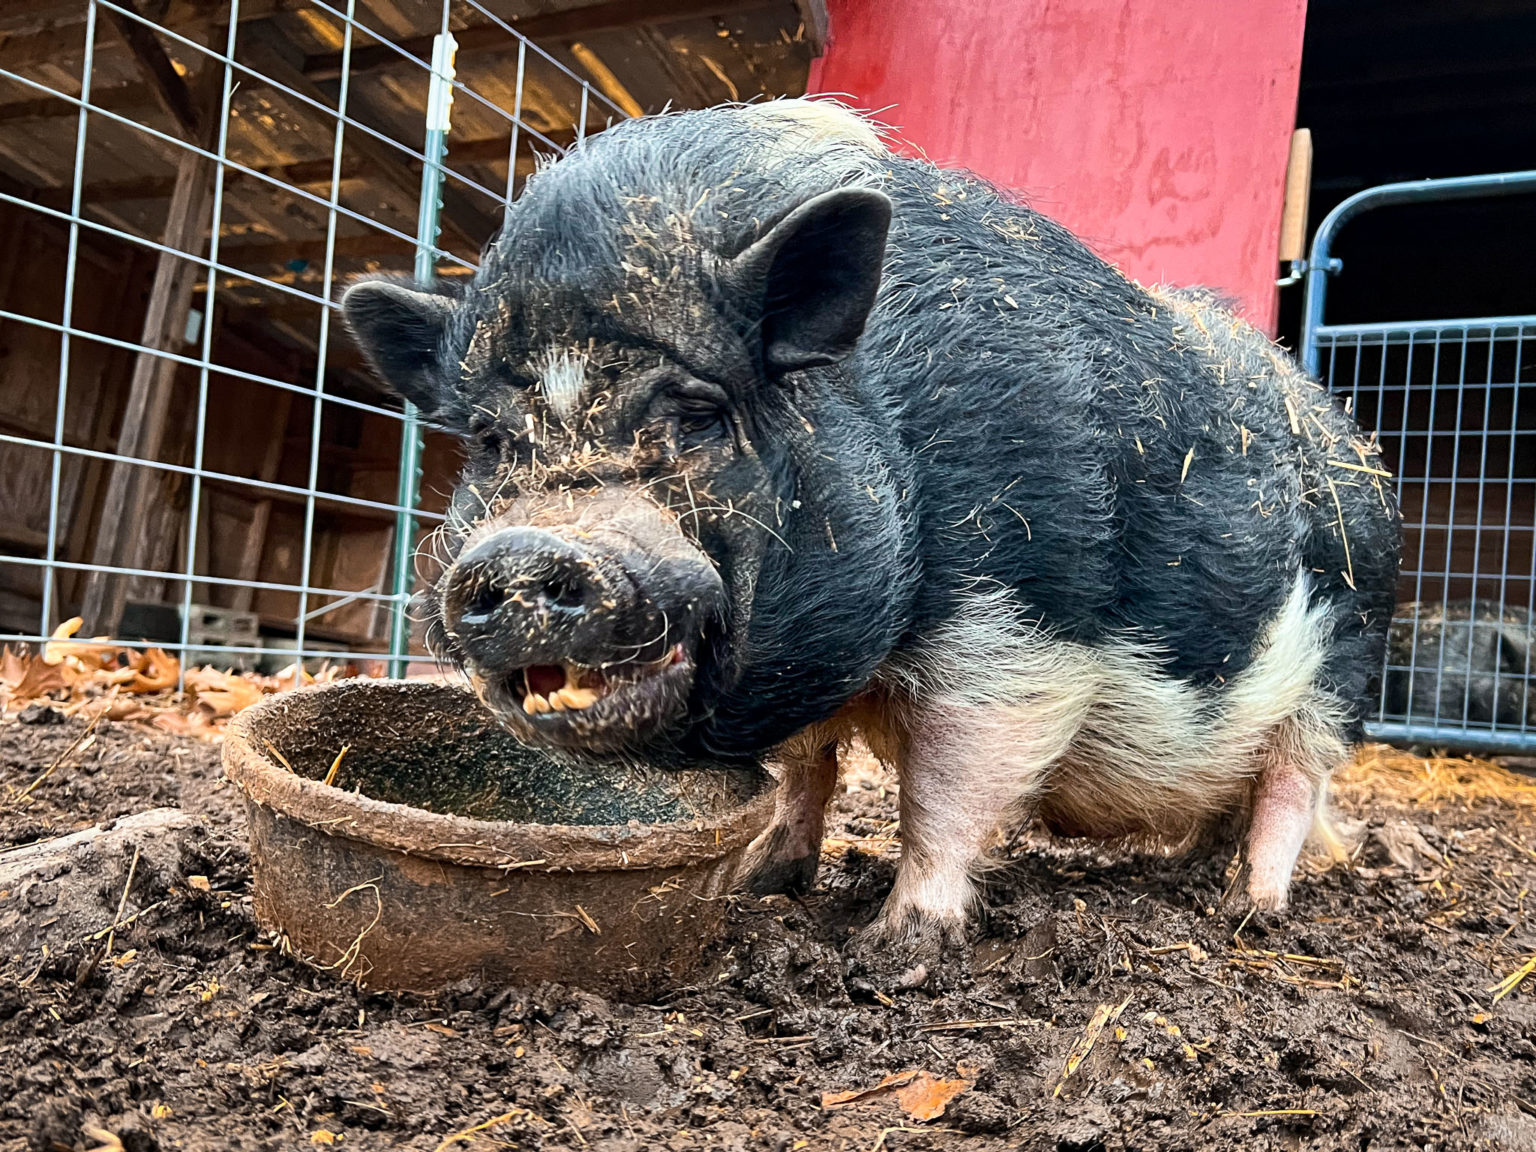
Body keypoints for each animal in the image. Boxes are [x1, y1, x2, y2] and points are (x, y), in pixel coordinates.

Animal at [341, 100, 1401, 950]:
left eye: (698, 414)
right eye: (488, 442)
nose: (526, 553)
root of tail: (1359, 445)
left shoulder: (1018, 624)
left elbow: (945, 789)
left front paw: (895, 943)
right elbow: (804, 769)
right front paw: (764, 881)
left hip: (1346, 655)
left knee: (1294, 783)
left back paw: (1247, 910)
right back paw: (1193, 873)